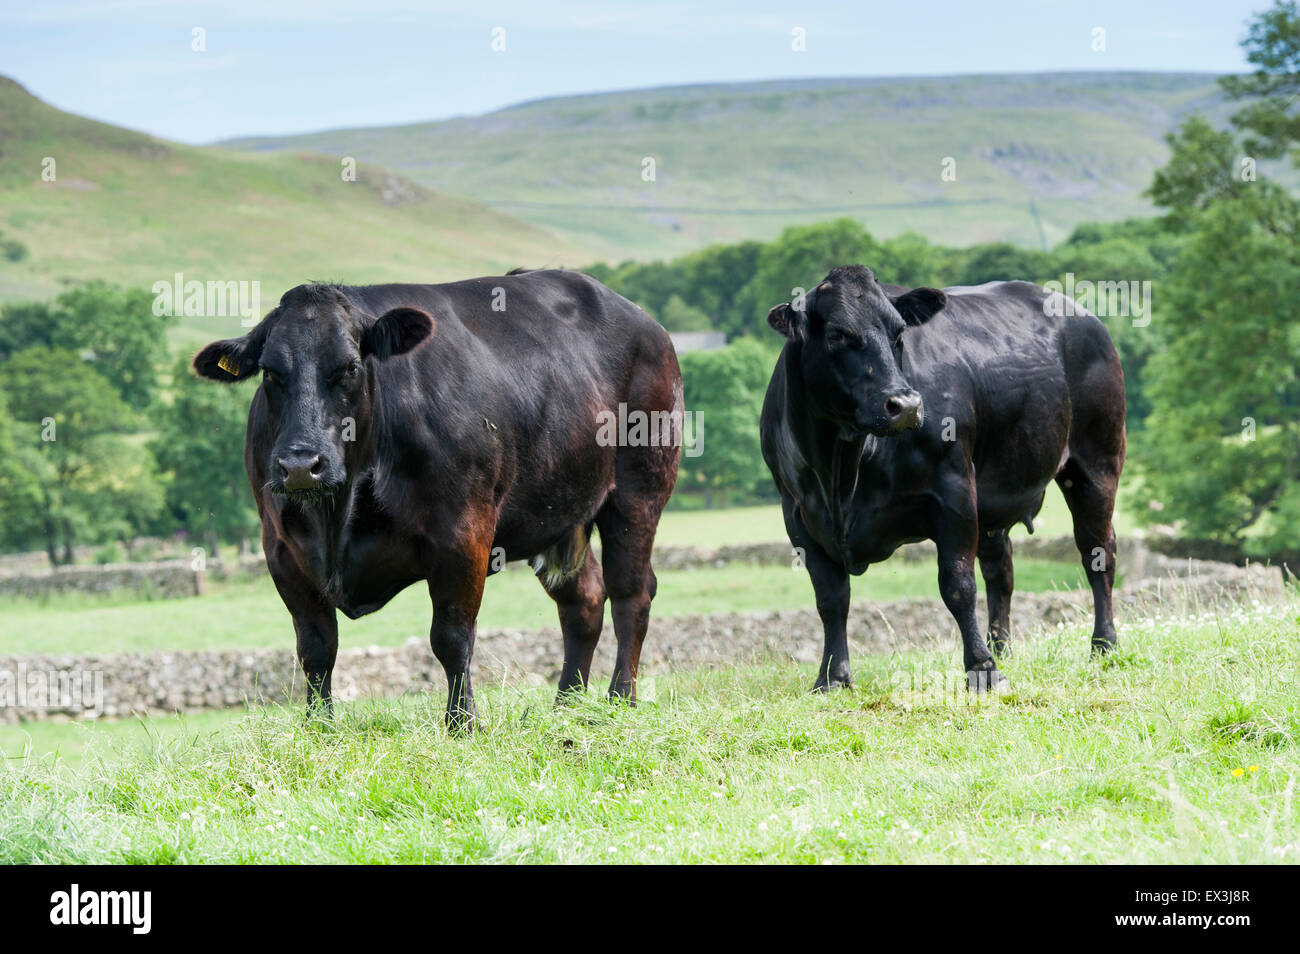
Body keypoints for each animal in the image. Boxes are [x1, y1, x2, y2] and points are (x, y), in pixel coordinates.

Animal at [193, 269, 682, 731]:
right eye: (270, 371)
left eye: (349, 367)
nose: (299, 465)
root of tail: (646, 323)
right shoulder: (281, 549)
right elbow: (316, 648)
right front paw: (318, 729)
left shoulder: (462, 535)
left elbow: (451, 638)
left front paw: (462, 723)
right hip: (557, 517)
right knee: (584, 602)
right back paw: (566, 706)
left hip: (639, 490)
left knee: (631, 594)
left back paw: (620, 700)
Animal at [760, 265, 1125, 692]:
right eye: (837, 334)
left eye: (899, 332)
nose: (905, 405)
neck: (842, 471)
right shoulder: (797, 515)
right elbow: (831, 598)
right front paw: (832, 677)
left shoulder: (954, 493)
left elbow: (958, 585)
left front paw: (982, 670)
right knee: (1001, 568)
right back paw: (1001, 646)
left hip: (1096, 462)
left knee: (1097, 552)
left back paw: (1103, 643)